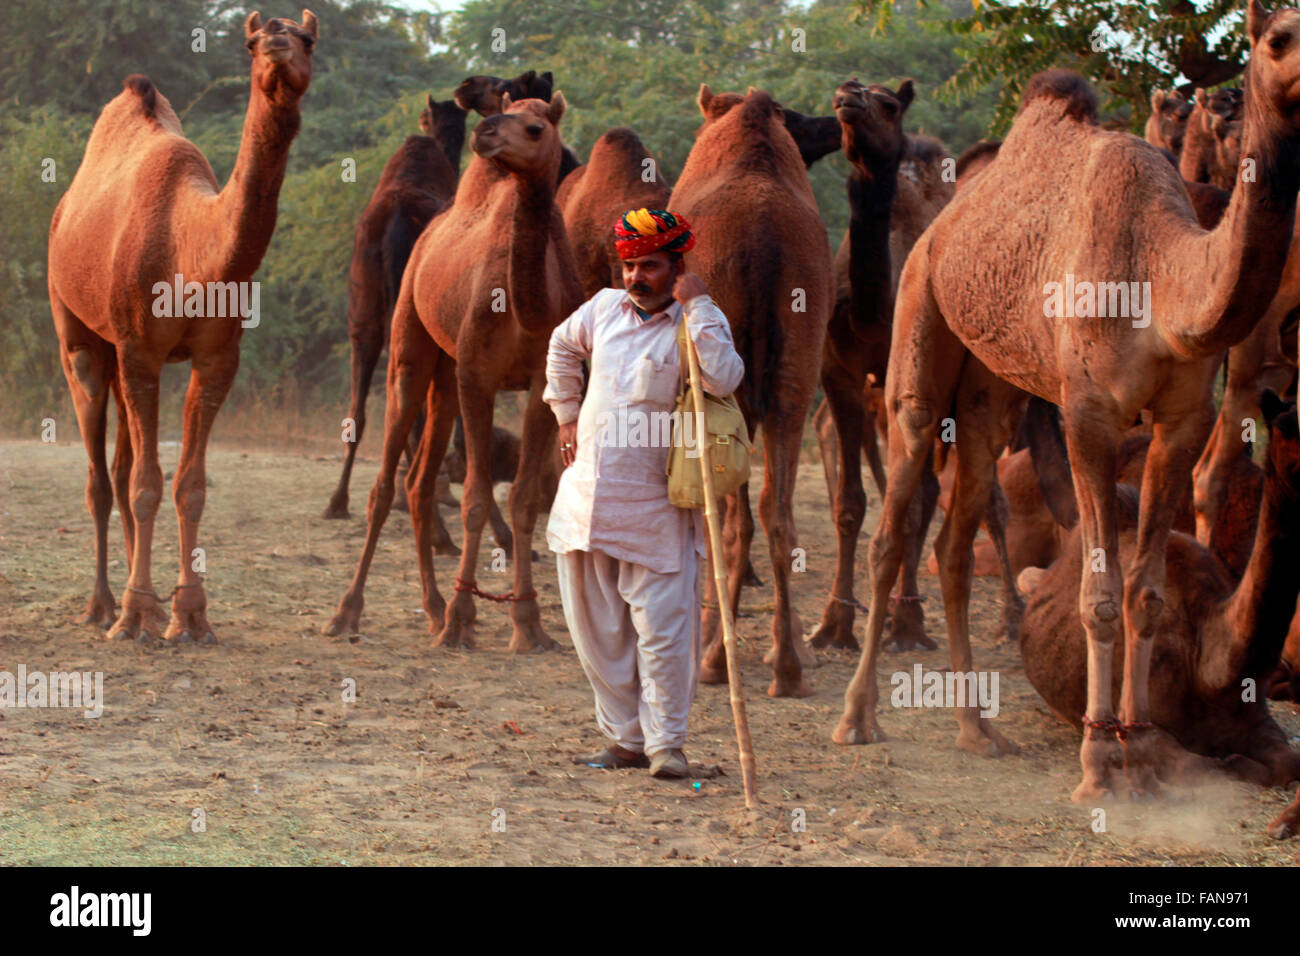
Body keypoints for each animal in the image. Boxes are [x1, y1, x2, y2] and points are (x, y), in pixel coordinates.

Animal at [48, 11, 317, 644]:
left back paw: (135, 600)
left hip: (117, 349)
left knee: (120, 468)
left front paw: (189, 615)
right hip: (78, 333)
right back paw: (102, 605)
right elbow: (147, 485)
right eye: (252, 42)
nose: (277, 41)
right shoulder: (140, 350)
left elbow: (188, 486)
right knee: (101, 478)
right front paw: (135, 615)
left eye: (308, 39)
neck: (190, 248)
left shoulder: (217, 357)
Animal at [668, 85, 833, 697]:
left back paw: (716, 659)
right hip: (798, 357)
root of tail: (763, 232)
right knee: (777, 508)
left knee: (733, 515)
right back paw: (787, 667)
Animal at [1017, 393, 1300, 839]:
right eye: (1290, 429)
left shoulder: (1255, 716)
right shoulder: (1151, 725)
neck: (1209, 666)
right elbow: (1200, 768)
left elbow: (1289, 760)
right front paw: (1231, 763)